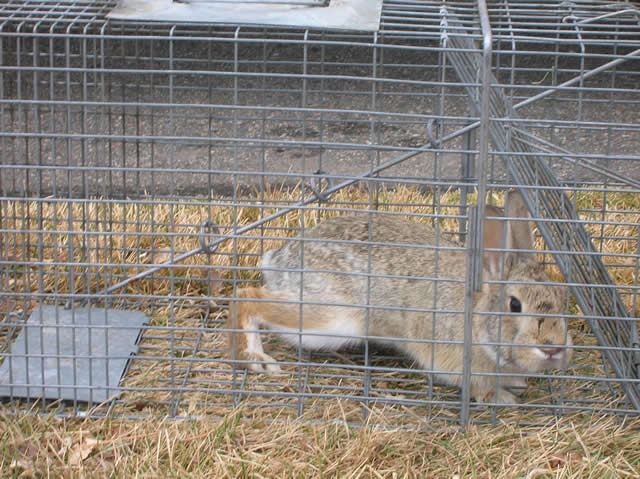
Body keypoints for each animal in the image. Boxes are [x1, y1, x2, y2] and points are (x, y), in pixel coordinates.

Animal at [227, 191, 573, 403]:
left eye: (560, 297)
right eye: (514, 304)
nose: (554, 348)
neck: (478, 315)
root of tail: (280, 260)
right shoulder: (451, 360)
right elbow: (476, 386)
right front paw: (504, 397)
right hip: (330, 317)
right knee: (246, 297)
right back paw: (255, 359)